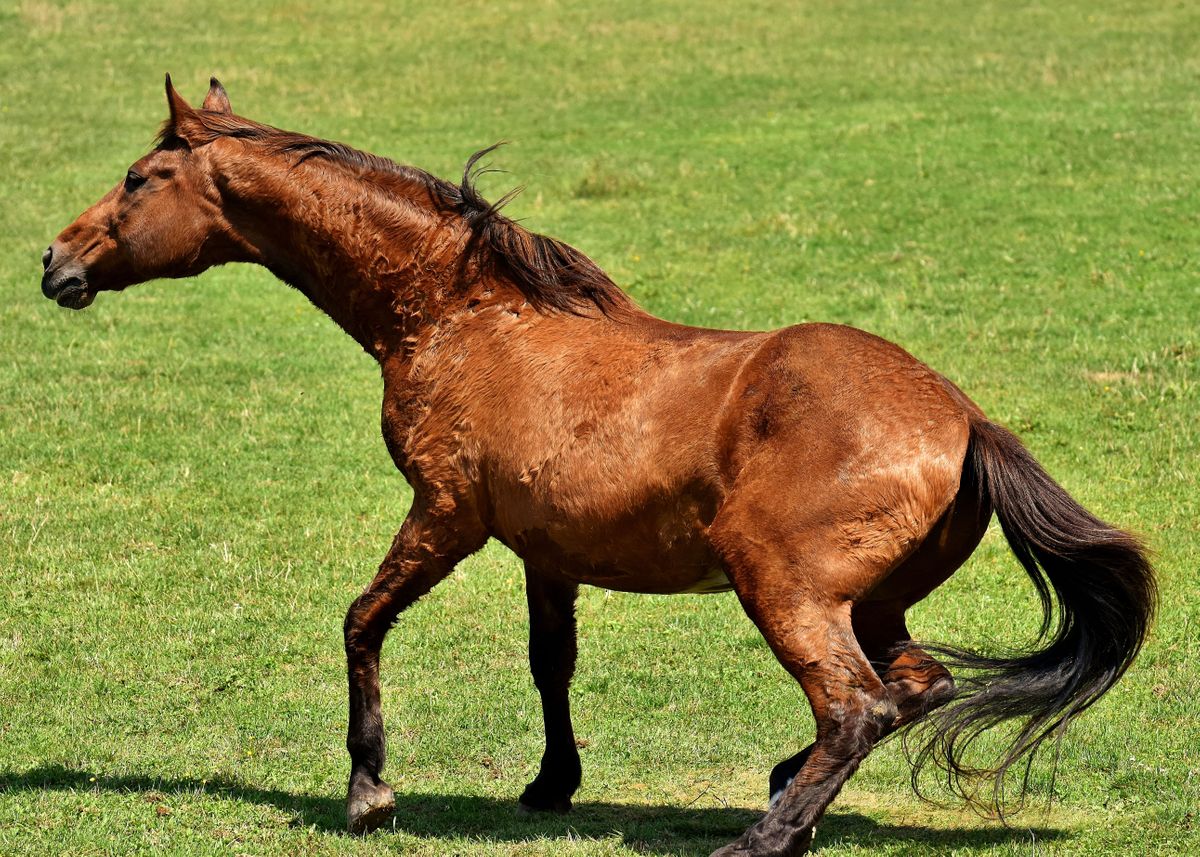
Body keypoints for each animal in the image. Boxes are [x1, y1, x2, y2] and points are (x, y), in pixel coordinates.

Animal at [41, 77, 1156, 857]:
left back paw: (765, 832)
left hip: (784, 588)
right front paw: (550, 783)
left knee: (859, 703)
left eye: (139, 178)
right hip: (874, 598)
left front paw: (369, 791)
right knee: (914, 684)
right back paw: (783, 783)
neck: (462, 317)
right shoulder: (545, 549)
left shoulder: (444, 514)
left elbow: (361, 620)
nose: (55, 261)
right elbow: (551, 662)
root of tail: (965, 421)